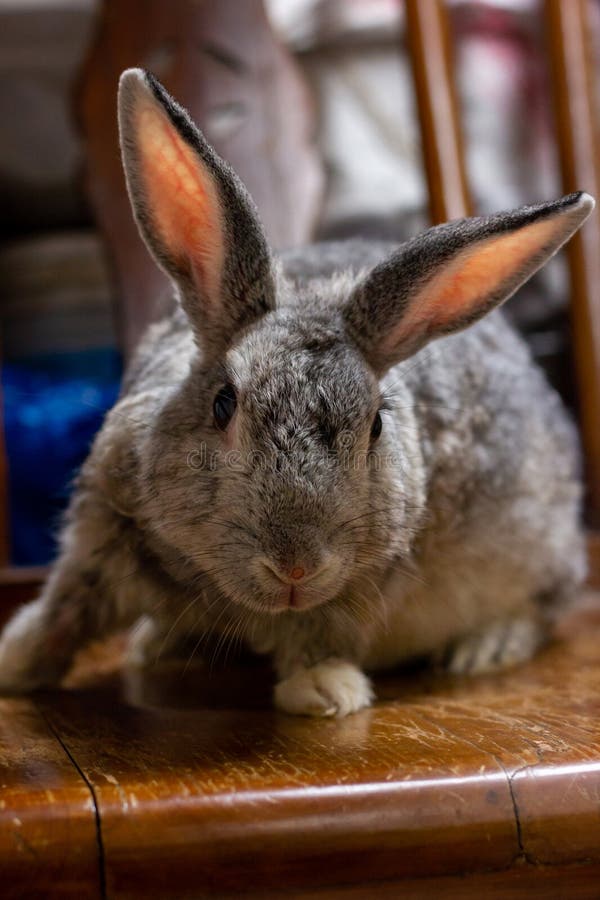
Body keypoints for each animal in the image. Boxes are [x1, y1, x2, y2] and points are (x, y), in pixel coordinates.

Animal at [0, 68, 594, 718]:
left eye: (376, 425)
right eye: (224, 403)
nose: (296, 566)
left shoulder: (354, 589)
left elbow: (318, 635)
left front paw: (325, 691)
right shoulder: (95, 539)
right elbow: (63, 608)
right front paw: (15, 665)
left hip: (539, 550)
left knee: (545, 606)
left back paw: (485, 647)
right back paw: (155, 645)